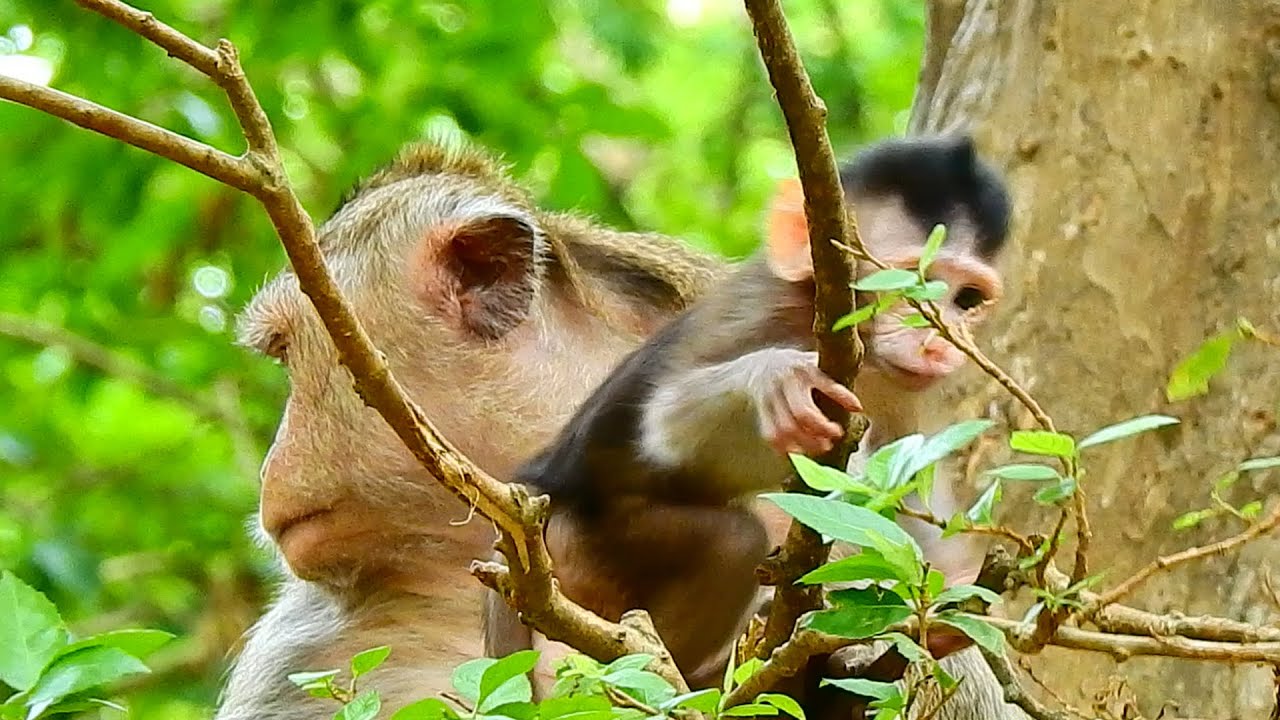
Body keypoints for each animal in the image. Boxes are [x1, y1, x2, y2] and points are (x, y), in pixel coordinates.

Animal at [482, 135, 1013, 695]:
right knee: (736, 540)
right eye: (913, 283)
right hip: (583, 548)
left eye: (966, 299)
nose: (939, 344)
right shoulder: (762, 310)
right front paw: (772, 381)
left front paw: (952, 610)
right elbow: (656, 419)